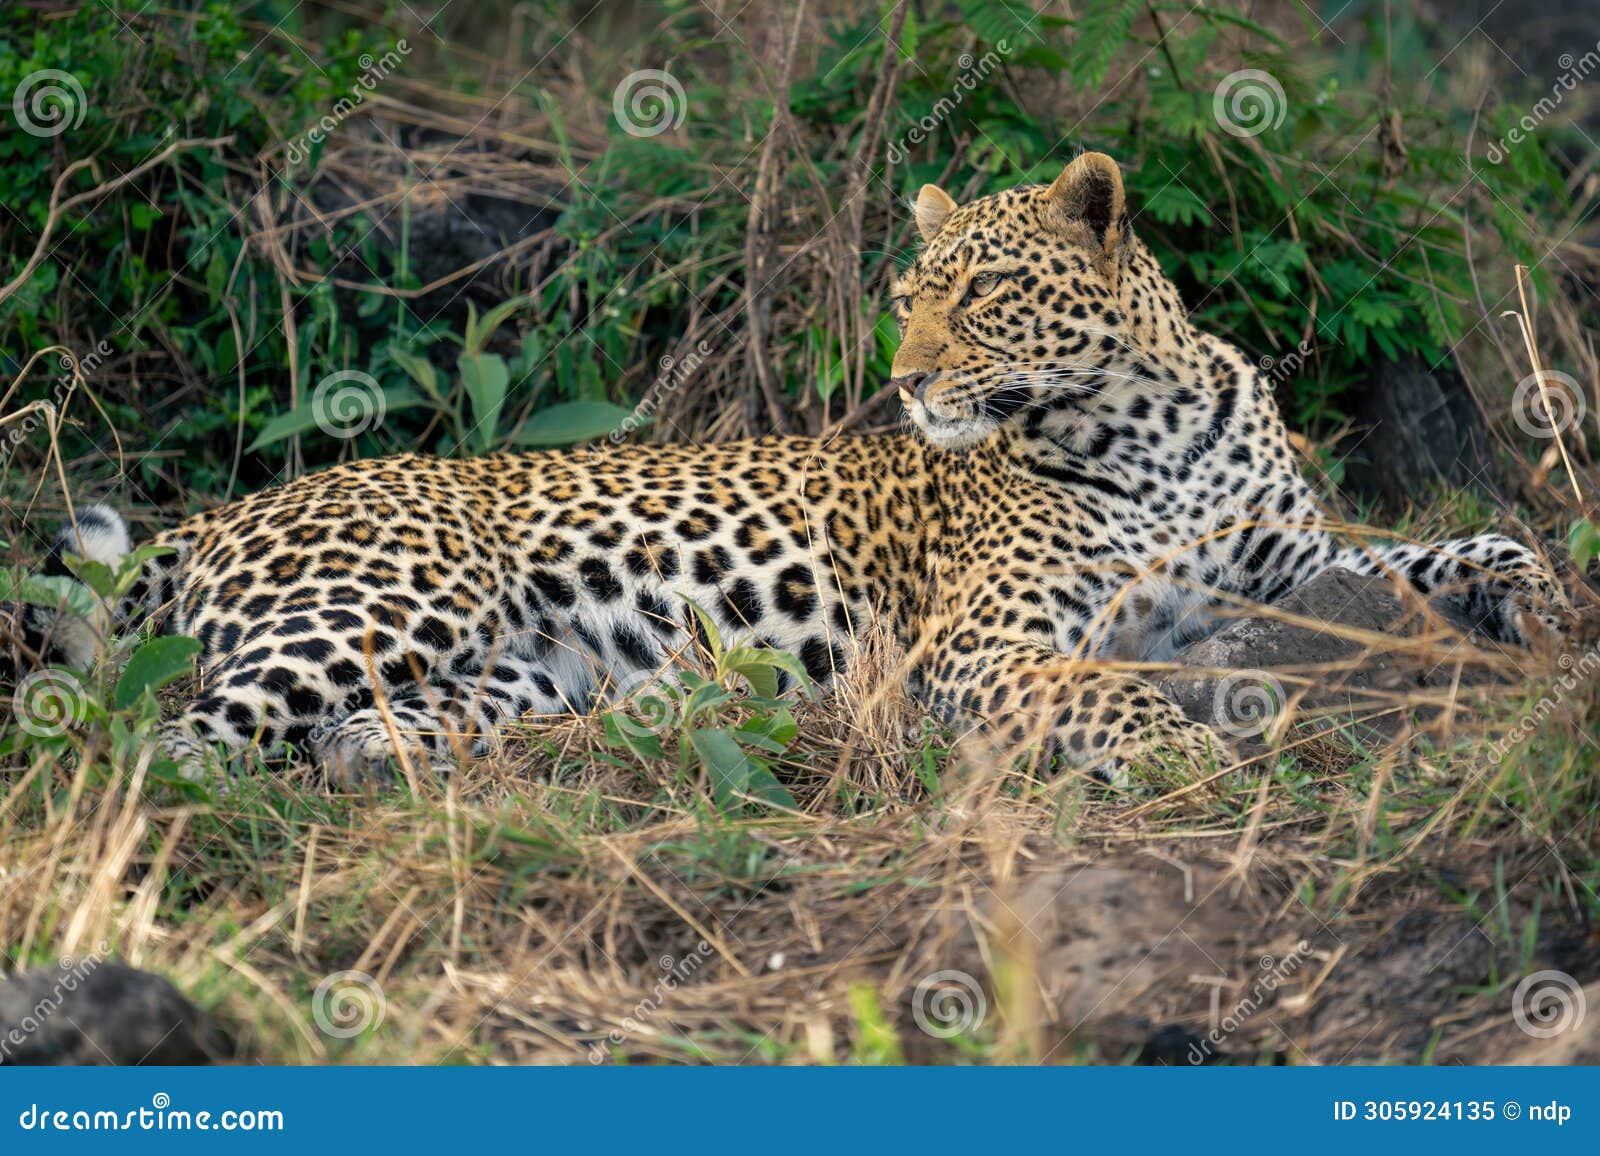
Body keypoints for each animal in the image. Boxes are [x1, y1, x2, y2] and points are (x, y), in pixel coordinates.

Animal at [3, 152, 1577, 786]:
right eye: (909, 296)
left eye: (984, 292)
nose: (908, 381)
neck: (1150, 421)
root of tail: (226, 509)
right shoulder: (987, 645)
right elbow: (1115, 683)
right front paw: (1188, 749)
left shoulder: (1293, 566)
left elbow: (1459, 547)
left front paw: (1550, 612)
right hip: (388, 599)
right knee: (153, 739)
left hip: (512, 664)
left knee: (339, 737)